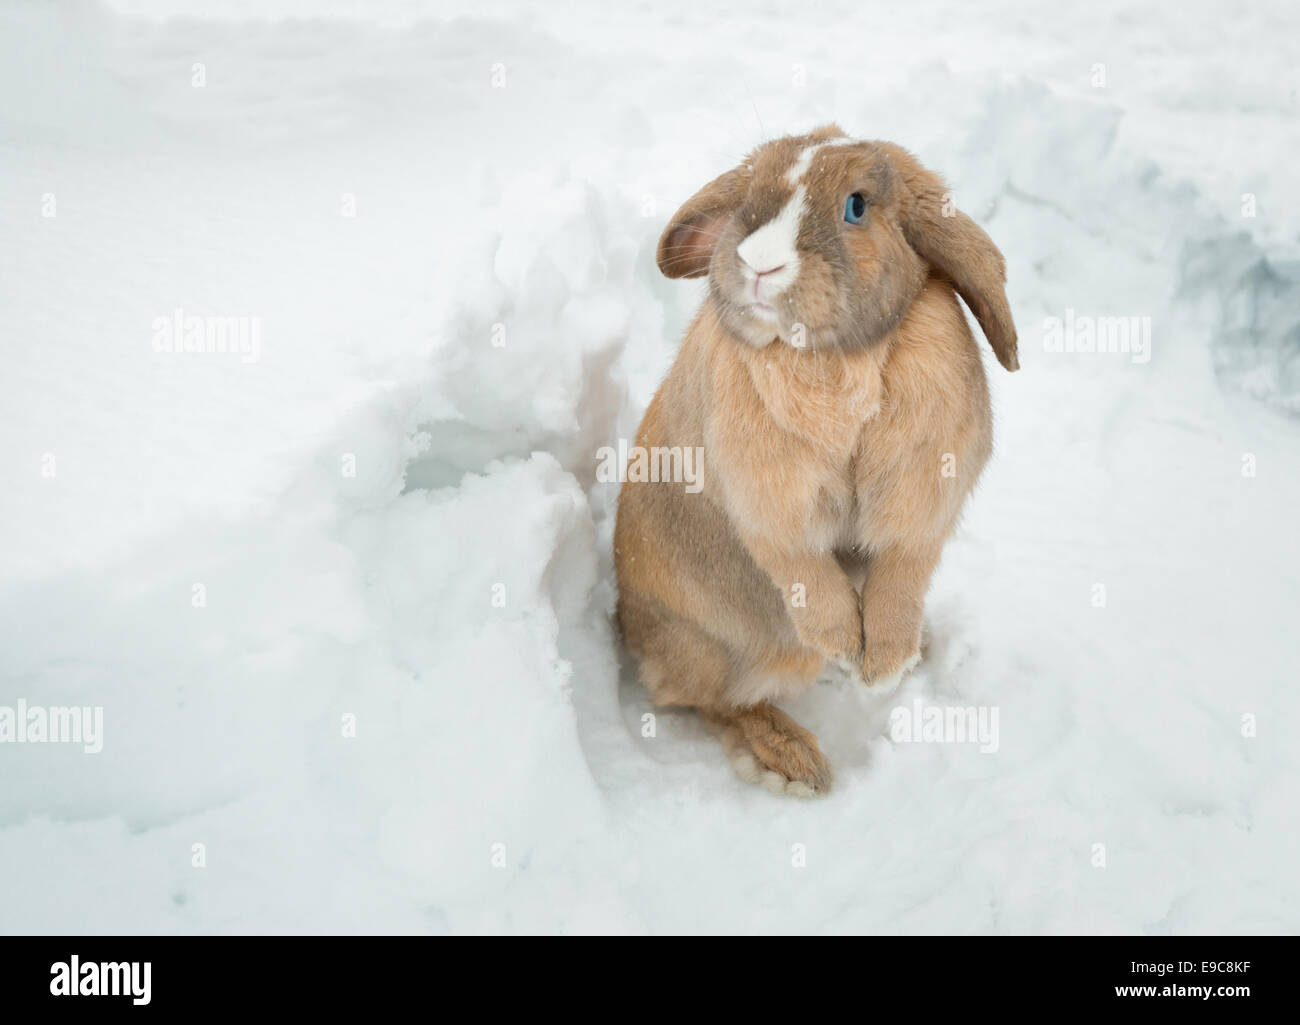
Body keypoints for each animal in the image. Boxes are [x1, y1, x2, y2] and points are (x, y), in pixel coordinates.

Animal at [614, 124, 1017, 796]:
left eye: (856, 205)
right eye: (750, 196)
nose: (759, 263)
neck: (831, 359)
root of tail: (624, 626)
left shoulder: (921, 508)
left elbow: (901, 573)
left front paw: (883, 663)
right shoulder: (772, 513)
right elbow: (808, 575)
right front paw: (851, 652)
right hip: (733, 652)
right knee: (711, 703)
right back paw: (791, 761)